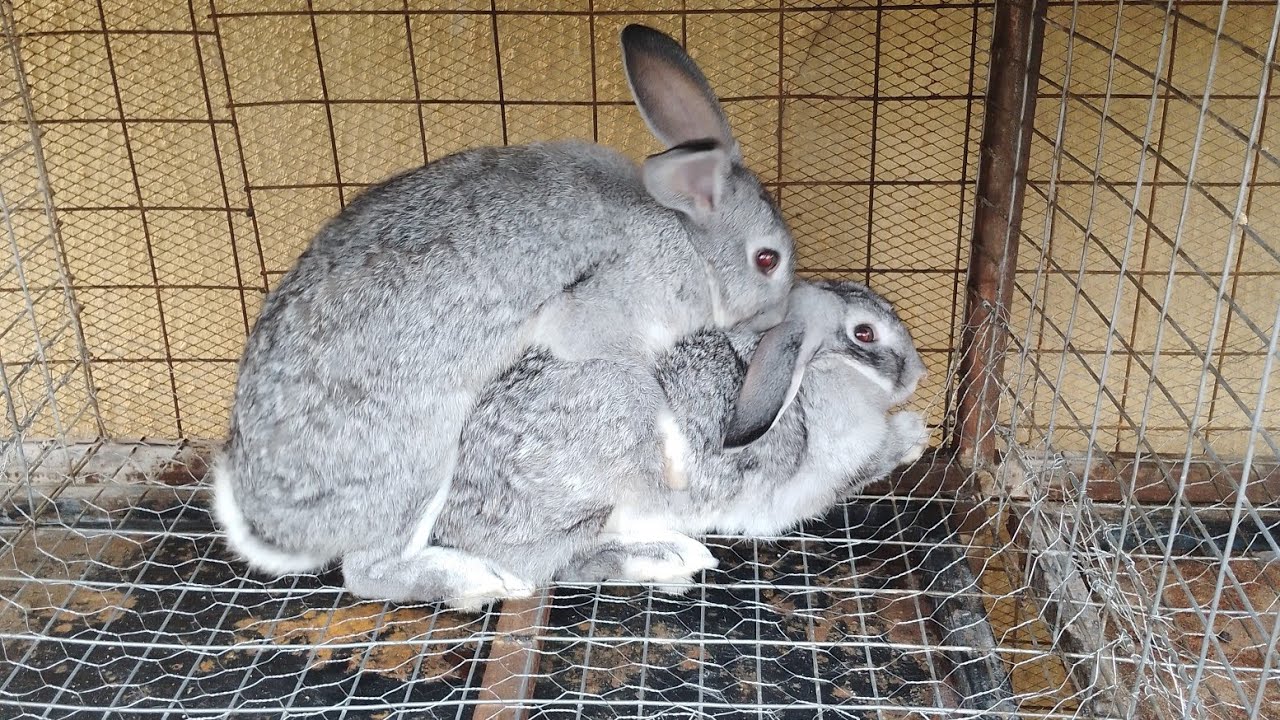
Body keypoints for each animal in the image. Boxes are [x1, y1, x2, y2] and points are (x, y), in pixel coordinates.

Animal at [211, 26, 803, 580]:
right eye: (767, 259)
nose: (775, 316)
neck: (689, 243)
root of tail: (277, 526)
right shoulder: (597, 321)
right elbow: (639, 384)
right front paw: (676, 463)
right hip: (418, 467)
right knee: (371, 571)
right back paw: (477, 582)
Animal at [338, 280, 930, 610]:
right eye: (865, 333)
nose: (919, 375)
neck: (812, 380)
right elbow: (867, 463)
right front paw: (915, 434)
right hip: (594, 474)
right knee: (535, 565)